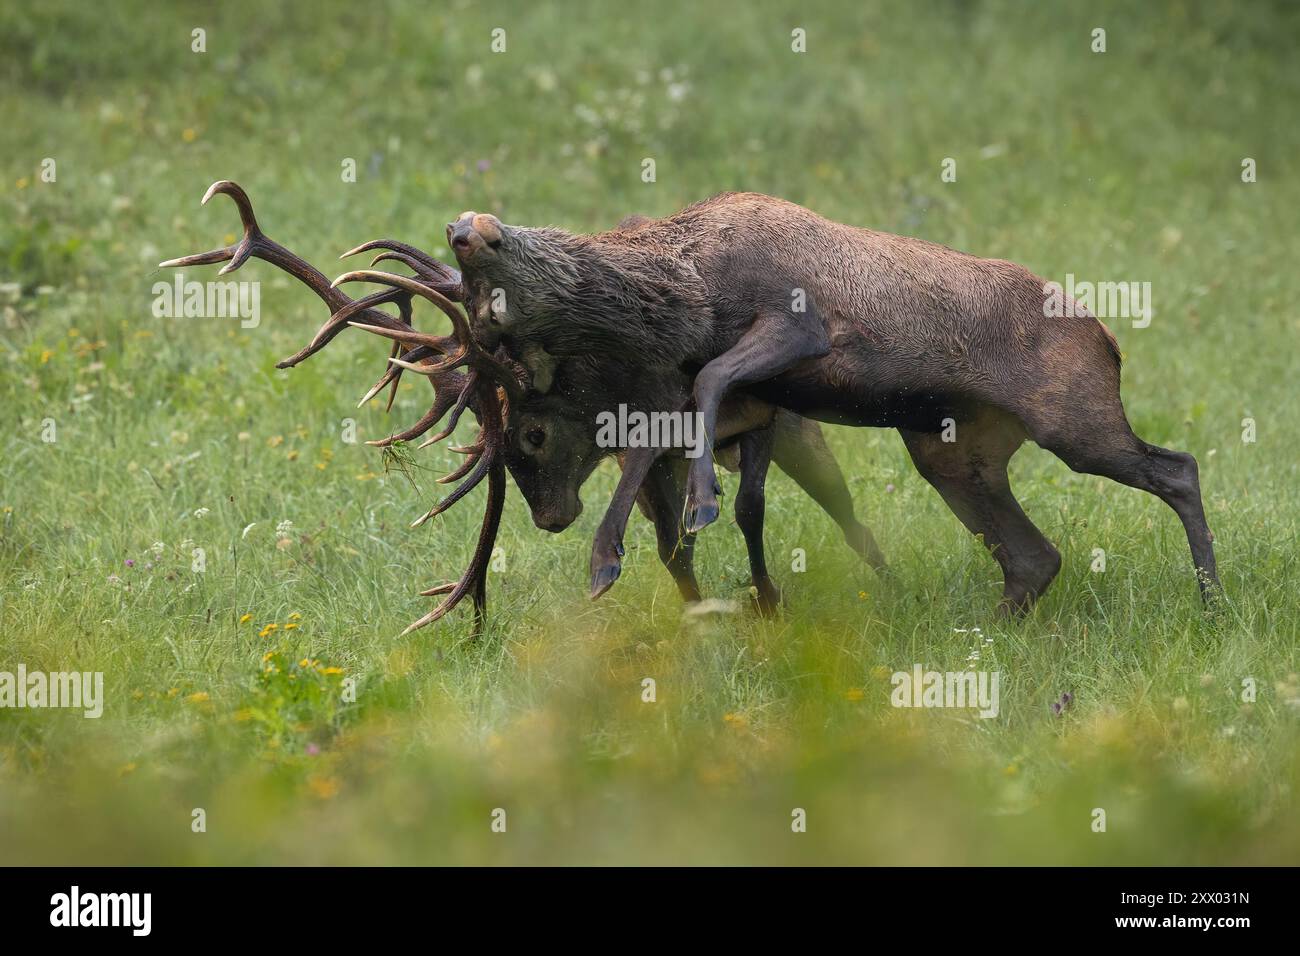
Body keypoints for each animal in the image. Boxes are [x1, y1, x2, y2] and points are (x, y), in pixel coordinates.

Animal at [159, 182, 886, 631]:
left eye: (533, 436)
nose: (549, 518)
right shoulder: (650, 451)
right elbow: (673, 548)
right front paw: (698, 619)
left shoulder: (704, 413)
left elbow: (731, 510)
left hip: (793, 427)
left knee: (809, 502)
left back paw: (856, 577)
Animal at [437, 192, 1220, 614]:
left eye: (532, 434)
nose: (461, 226)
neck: (691, 288)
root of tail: (1109, 338)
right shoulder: (722, 394)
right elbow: (663, 436)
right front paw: (615, 558)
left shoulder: (801, 325)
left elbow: (709, 384)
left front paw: (701, 503)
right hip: (951, 451)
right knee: (1034, 557)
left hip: (1073, 419)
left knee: (1178, 467)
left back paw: (1212, 601)